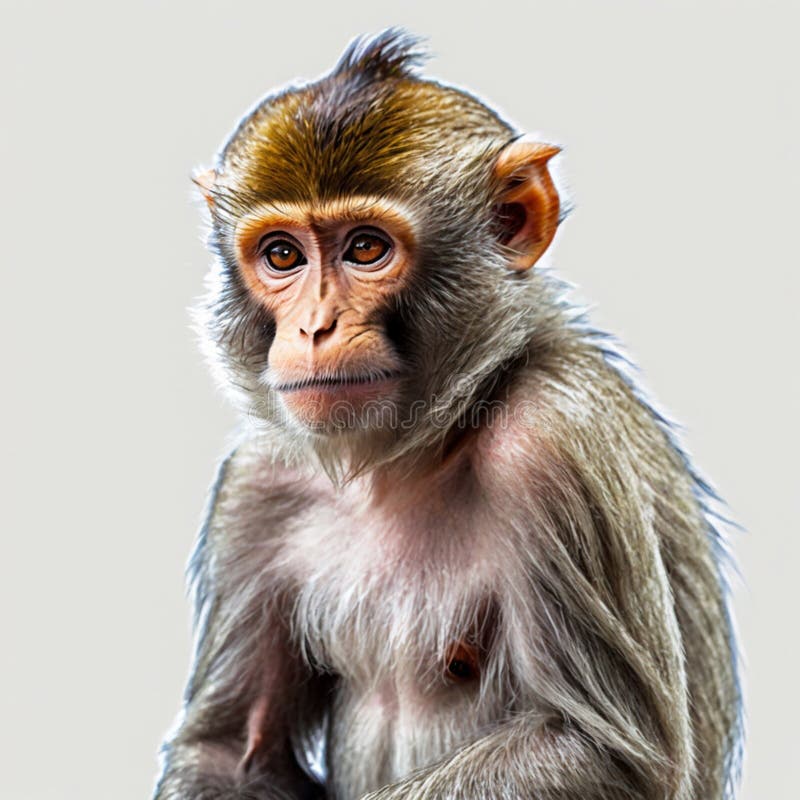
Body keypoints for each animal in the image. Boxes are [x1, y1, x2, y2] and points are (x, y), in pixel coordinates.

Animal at [154, 29, 742, 800]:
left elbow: (602, 754)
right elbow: (230, 749)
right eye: (281, 255)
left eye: (366, 247)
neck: (411, 457)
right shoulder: (255, 484)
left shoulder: (556, 447)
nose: (313, 327)